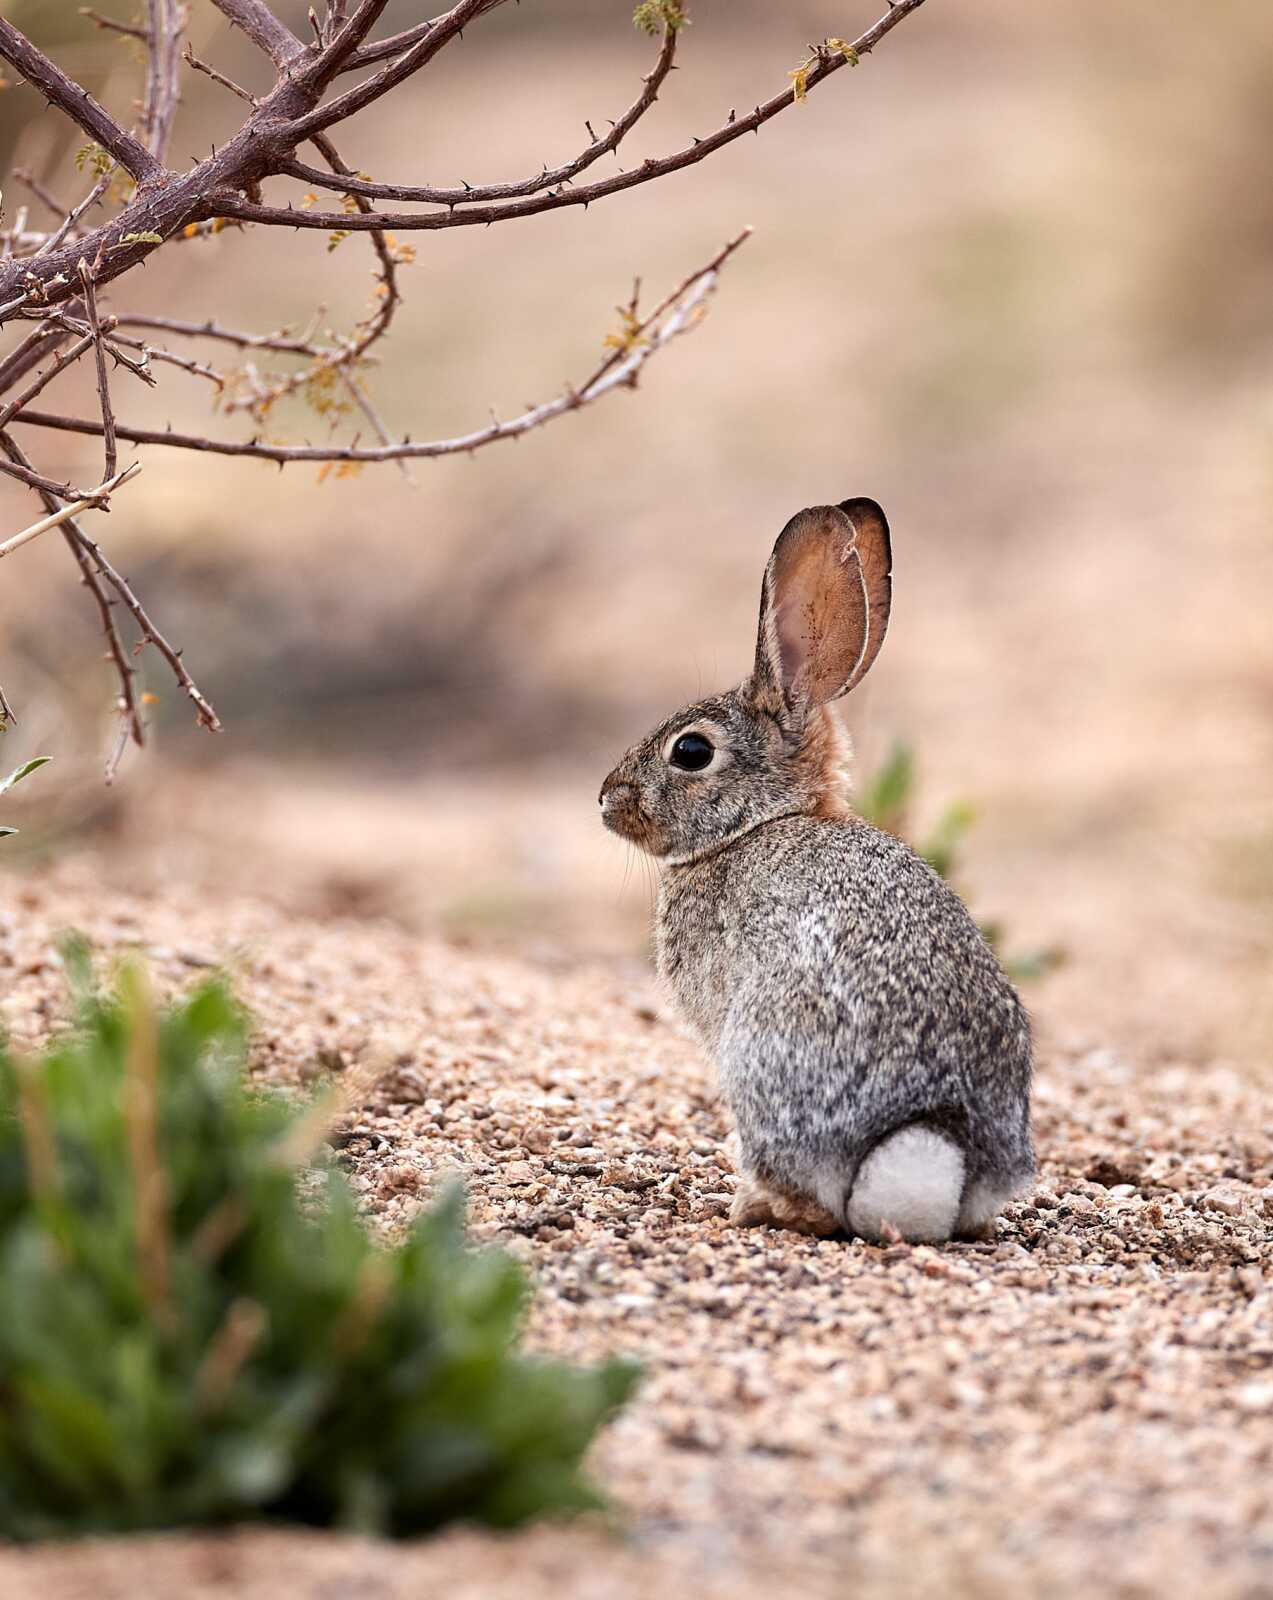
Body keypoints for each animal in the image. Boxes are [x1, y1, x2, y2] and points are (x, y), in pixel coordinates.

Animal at [599, 498, 1034, 1243]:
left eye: (691, 752)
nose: (605, 798)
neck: (757, 823)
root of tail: (931, 1132)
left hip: (762, 1061)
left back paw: (746, 1207)